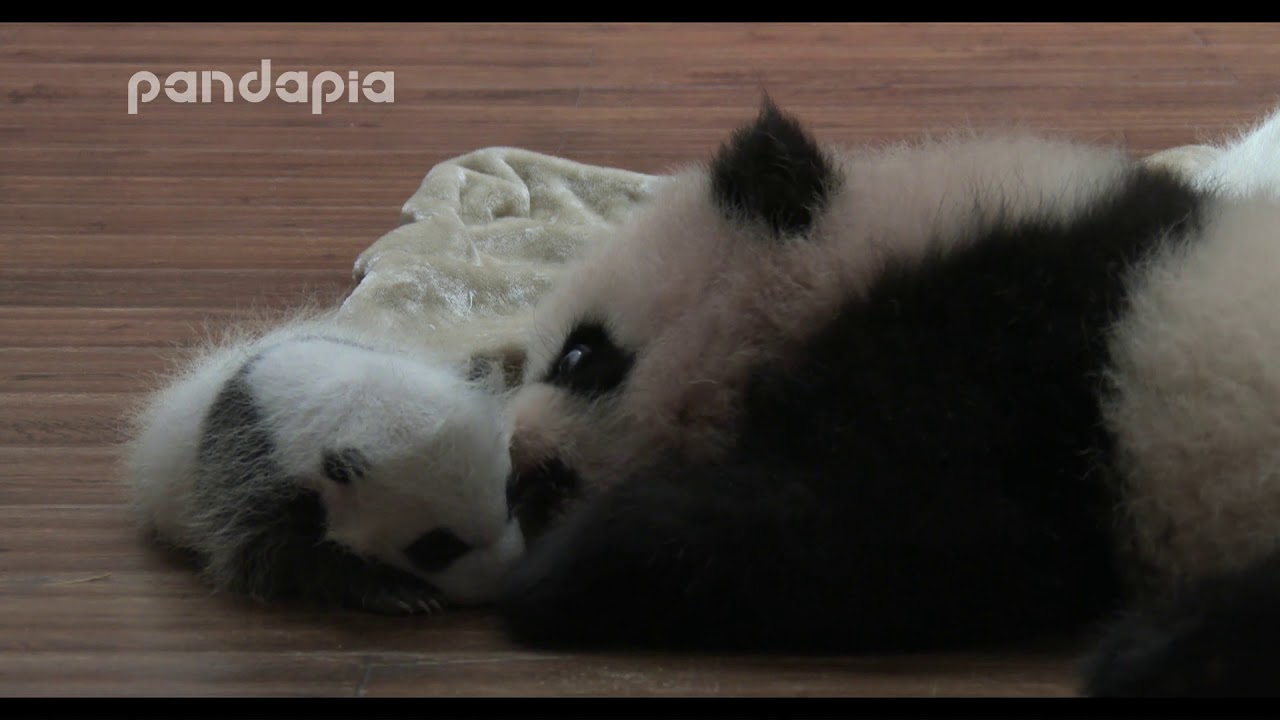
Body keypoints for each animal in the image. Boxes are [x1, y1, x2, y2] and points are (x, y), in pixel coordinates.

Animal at [126, 317, 524, 614]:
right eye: (437, 545)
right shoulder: (248, 473)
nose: (503, 578)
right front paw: (399, 592)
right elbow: (274, 558)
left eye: (510, 497)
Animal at [498, 100, 1280, 695]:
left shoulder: (997, 343)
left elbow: (902, 525)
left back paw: (1163, 655)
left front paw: (558, 573)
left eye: (579, 355)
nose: (514, 476)